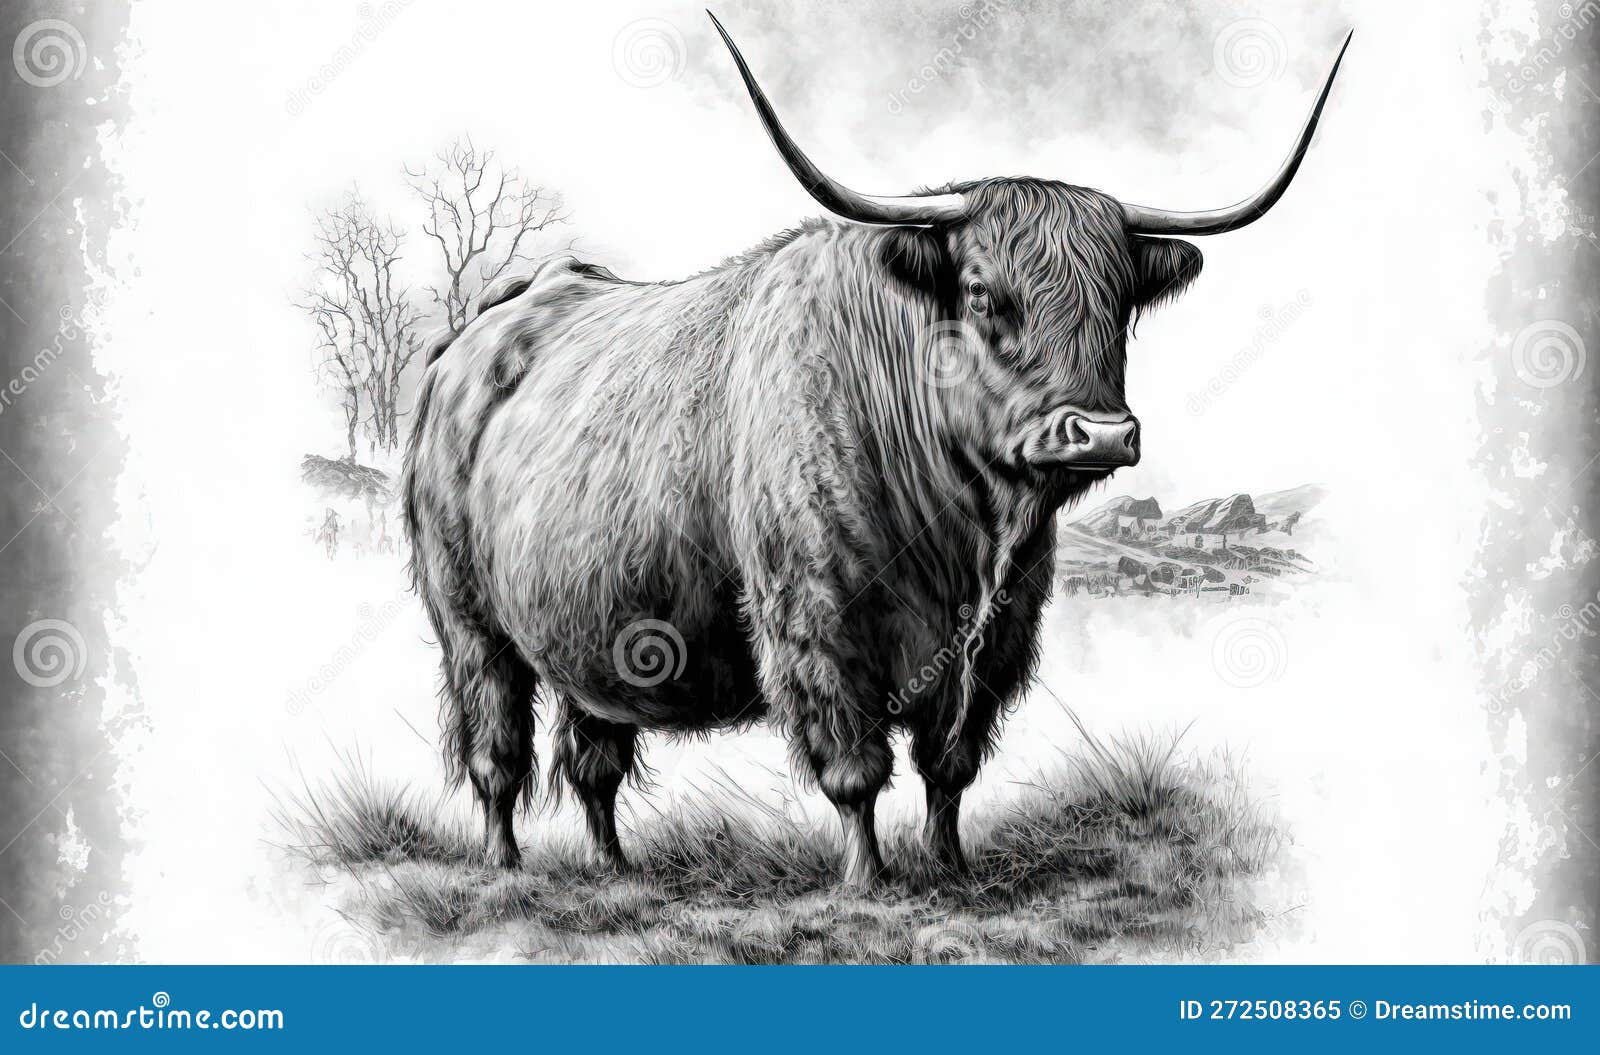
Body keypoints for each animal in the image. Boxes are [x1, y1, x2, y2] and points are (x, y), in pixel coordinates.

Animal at [402, 14, 1350, 886]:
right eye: (982, 292)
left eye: (1121, 304)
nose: (1102, 432)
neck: (968, 534)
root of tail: (487, 326)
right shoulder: (815, 624)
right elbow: (855, 767)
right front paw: (869, 880)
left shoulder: (998, 636)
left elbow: (950, 766)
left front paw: (953, 868)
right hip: (470, 625)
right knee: (498, 751)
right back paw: (504, 864)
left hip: (591, 621)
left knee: (592, 757)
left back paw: (613, 866)